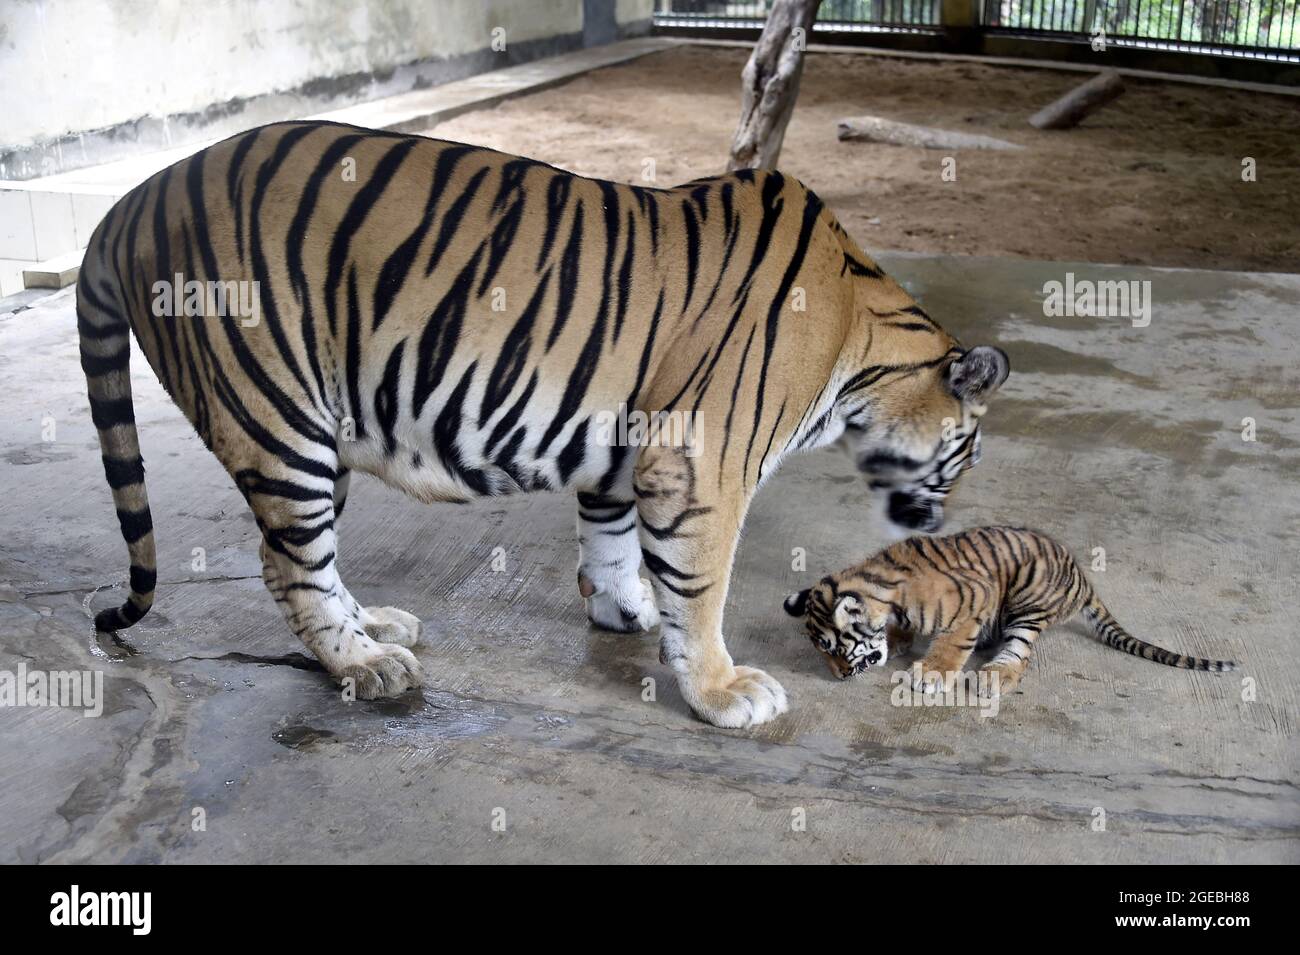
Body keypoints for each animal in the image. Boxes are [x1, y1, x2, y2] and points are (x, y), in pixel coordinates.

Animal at [77, 119, 1011, 729]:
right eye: (965, 449)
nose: (944, 515)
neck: (862, 339)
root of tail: (132, 198)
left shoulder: (628, 445)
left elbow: (614, 537)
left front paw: (627, 609)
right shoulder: (703, 457)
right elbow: (703, 580)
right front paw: (718, 687)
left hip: (317, 430)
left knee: (304, 559)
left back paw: (375, 627)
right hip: (275, 418)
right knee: (288, 564)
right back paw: (364, 663)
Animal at [783, 525, 1236, 699]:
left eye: (834, 649)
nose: (837, 676)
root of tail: (1081, 575)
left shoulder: (975, 598)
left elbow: (951, 644)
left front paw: (930, 675)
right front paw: (894, 643)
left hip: (1028, 600)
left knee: (1021, 656)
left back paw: (993, 677)